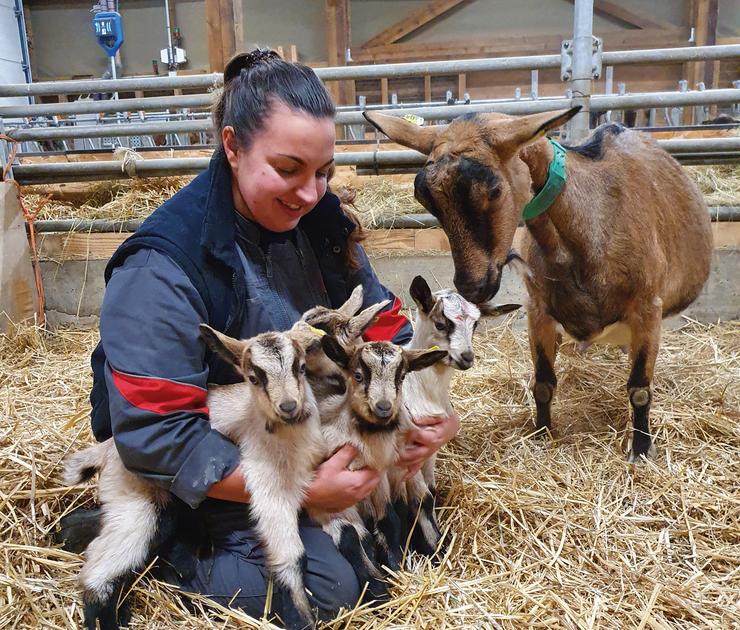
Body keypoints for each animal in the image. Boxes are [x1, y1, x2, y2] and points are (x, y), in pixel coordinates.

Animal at [63, 326, 324, 630]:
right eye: (254, 378)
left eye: (301, 367)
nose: (289, 406)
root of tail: (108, 447)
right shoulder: (269, 480)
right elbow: (291, 555)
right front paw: (303, 618)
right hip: (136, 503)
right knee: (101, 565)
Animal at [364, 108, 713, 462]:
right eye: (426, 199)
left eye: (494, 190)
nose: (472, 286)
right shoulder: (539, 311)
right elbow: (543, 383)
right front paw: (542, 434)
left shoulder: (647, 309)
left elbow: (640, 389)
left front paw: (641, 451)